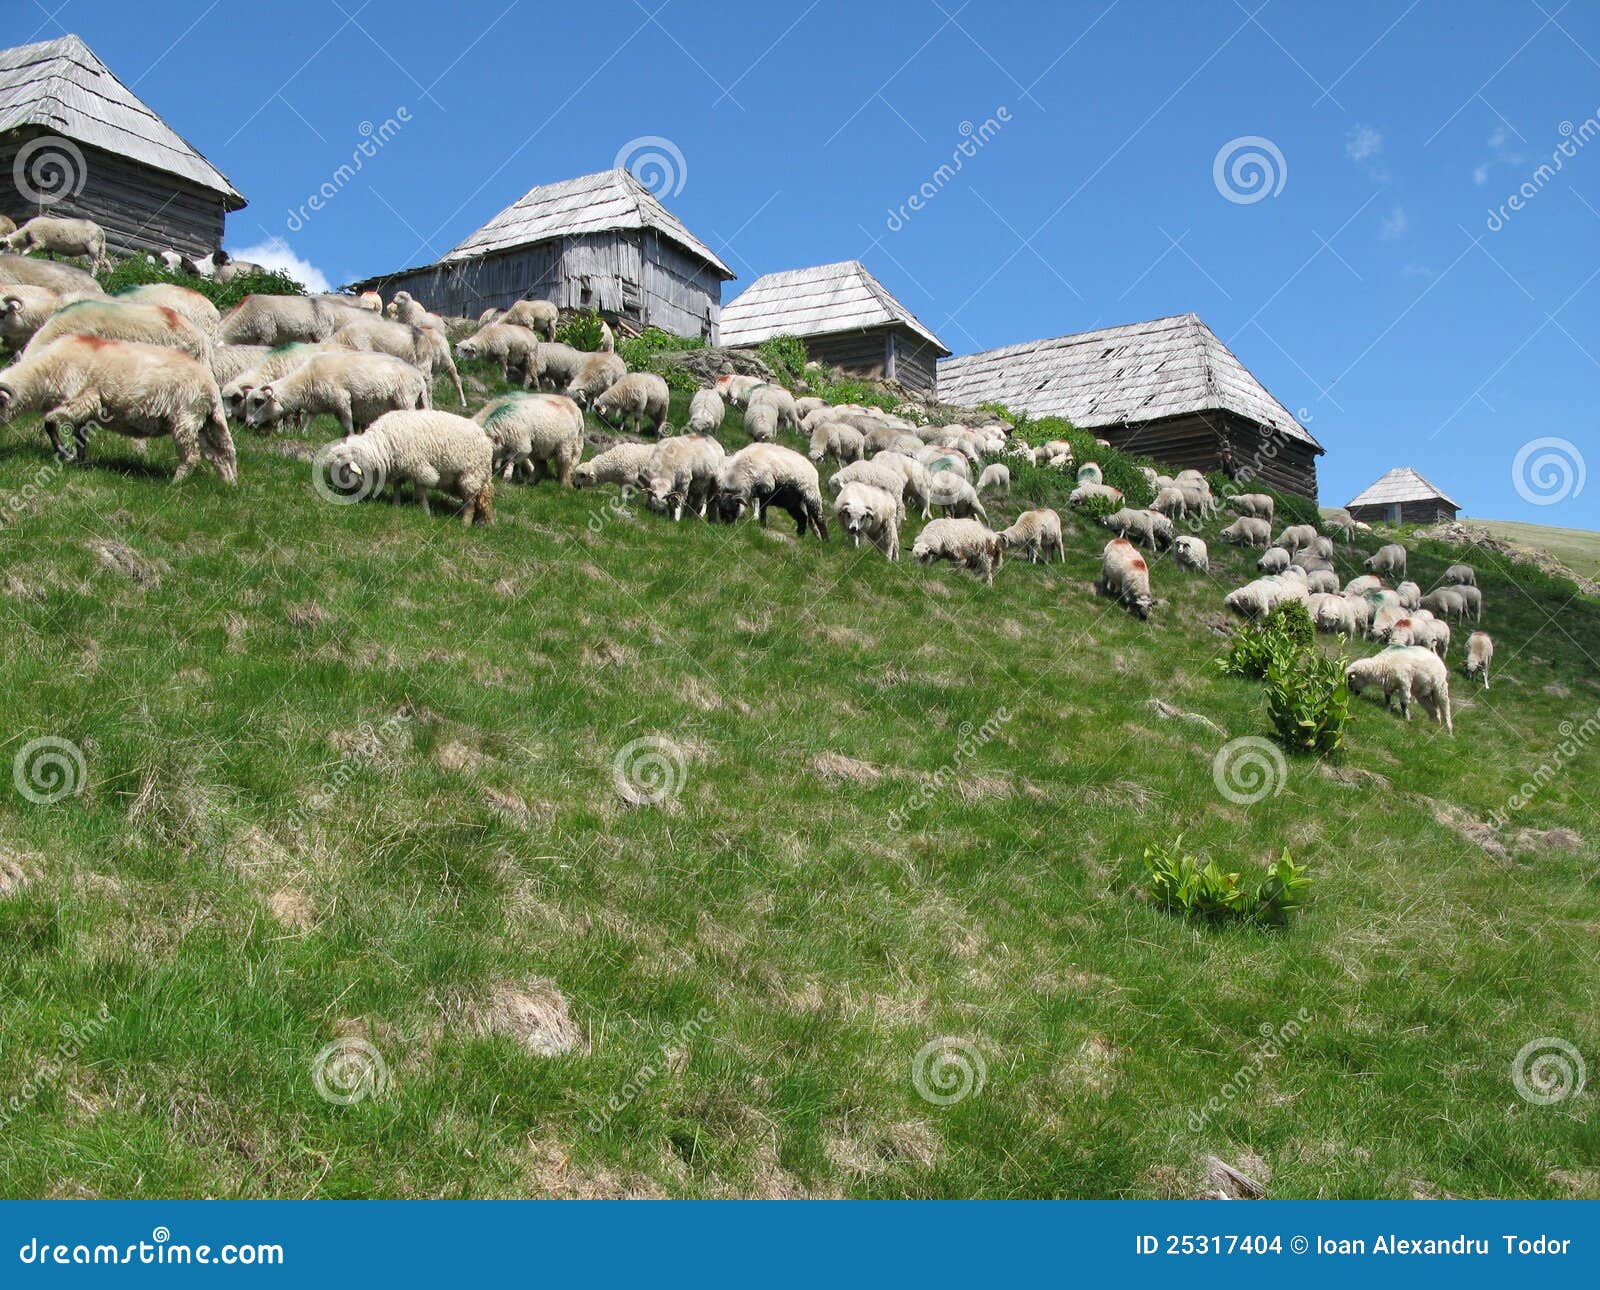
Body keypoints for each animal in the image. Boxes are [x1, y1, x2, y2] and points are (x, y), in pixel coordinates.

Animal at [0, 334, 235, 482]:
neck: (45, 372)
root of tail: (211, 386)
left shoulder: (84, 399)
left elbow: (49, 422)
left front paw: (65, 454)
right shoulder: (84, 410)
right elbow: (80, 437)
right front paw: (81, 462)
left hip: (185, 417)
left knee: (192, 456)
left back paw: (174, 484)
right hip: (205, 422)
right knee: (222, 454)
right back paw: (229, 484)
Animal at [244, 350, 430, 434]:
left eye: (259, 401)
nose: (248, 423)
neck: (306, 379)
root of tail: (419, 377)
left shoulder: (342, 400)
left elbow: (348, 424)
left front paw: (351, 437)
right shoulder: (315, 406)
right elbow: (307, 422)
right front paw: (303, 435)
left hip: (405, 399)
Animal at [320, 410, 493, 524]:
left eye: (343, 472)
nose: (339, 493)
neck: (382, 444)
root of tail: (484, 436)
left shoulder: (419, 467)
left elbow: (421, 493)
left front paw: (425, 513)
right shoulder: (399, 468)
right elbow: (397, 487)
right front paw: (396, 506)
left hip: (471, 474)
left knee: (470, 502)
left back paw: (465, 524)